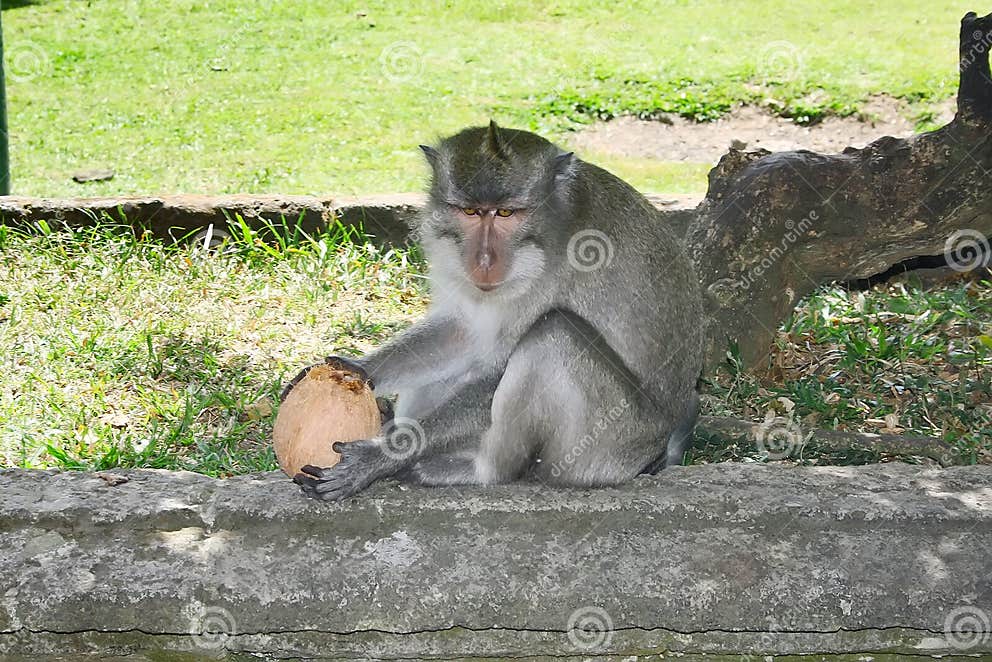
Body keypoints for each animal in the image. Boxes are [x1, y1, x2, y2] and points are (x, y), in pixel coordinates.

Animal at [294, 120, 703, 501]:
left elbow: (497, 370)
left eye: (506, 213)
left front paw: (379, 456)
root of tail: (659, 451)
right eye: (471, 212)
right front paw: (356, 368)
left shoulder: (562, 269)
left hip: (607, 448)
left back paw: (483, 471)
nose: (485, 260)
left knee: (553, 335)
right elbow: (463, 332)